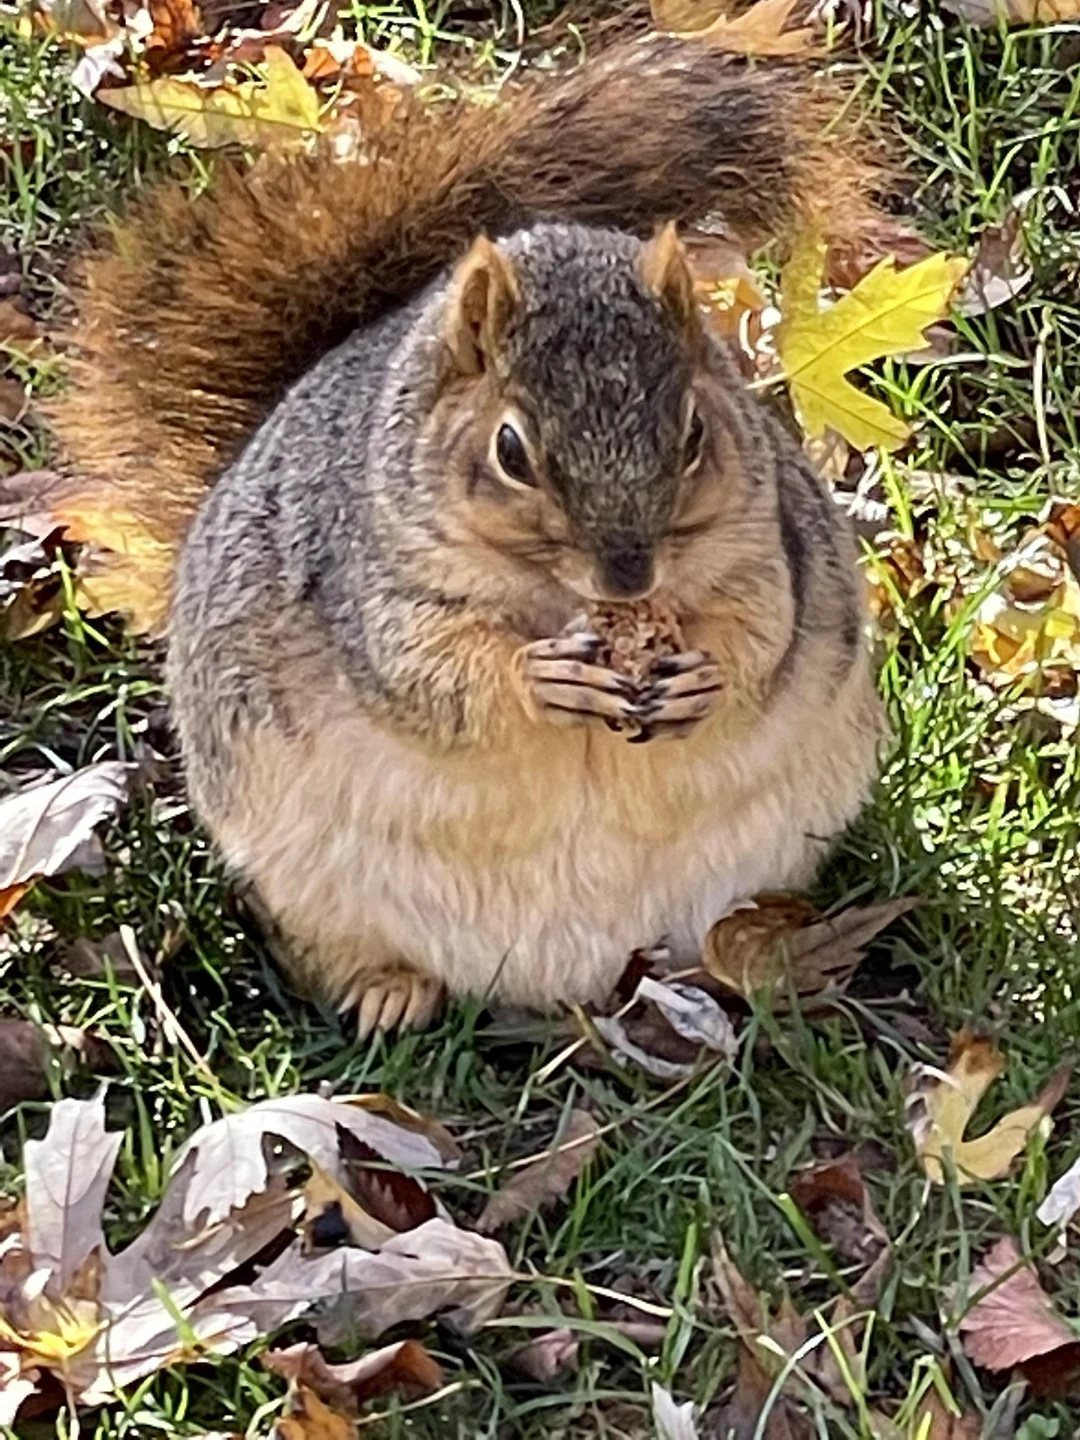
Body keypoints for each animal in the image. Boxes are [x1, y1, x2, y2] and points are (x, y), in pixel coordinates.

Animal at [48, 33, 886, 1036]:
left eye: (694, 434)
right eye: (511, 450)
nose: (630, 576)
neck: (564, 594)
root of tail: (569, 981)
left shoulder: (769, 546)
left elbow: (760, 633)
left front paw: (703, 676)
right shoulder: (375, 585)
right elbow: (434, 673)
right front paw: (538, 678)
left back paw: (772, 964)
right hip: (305, 883)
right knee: (330, 949)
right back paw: (385, 992)